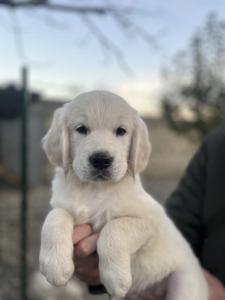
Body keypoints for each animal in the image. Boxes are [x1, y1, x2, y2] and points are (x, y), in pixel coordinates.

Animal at [39, 91, 208, 300]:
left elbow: (114, 229)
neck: (95, 189)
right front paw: (55, 266)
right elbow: (55, 216)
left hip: (185, 283)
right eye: (81, 129)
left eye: (121, 131)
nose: (101, 160)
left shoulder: (151, 219)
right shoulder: (62, 204)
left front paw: (116, 278)